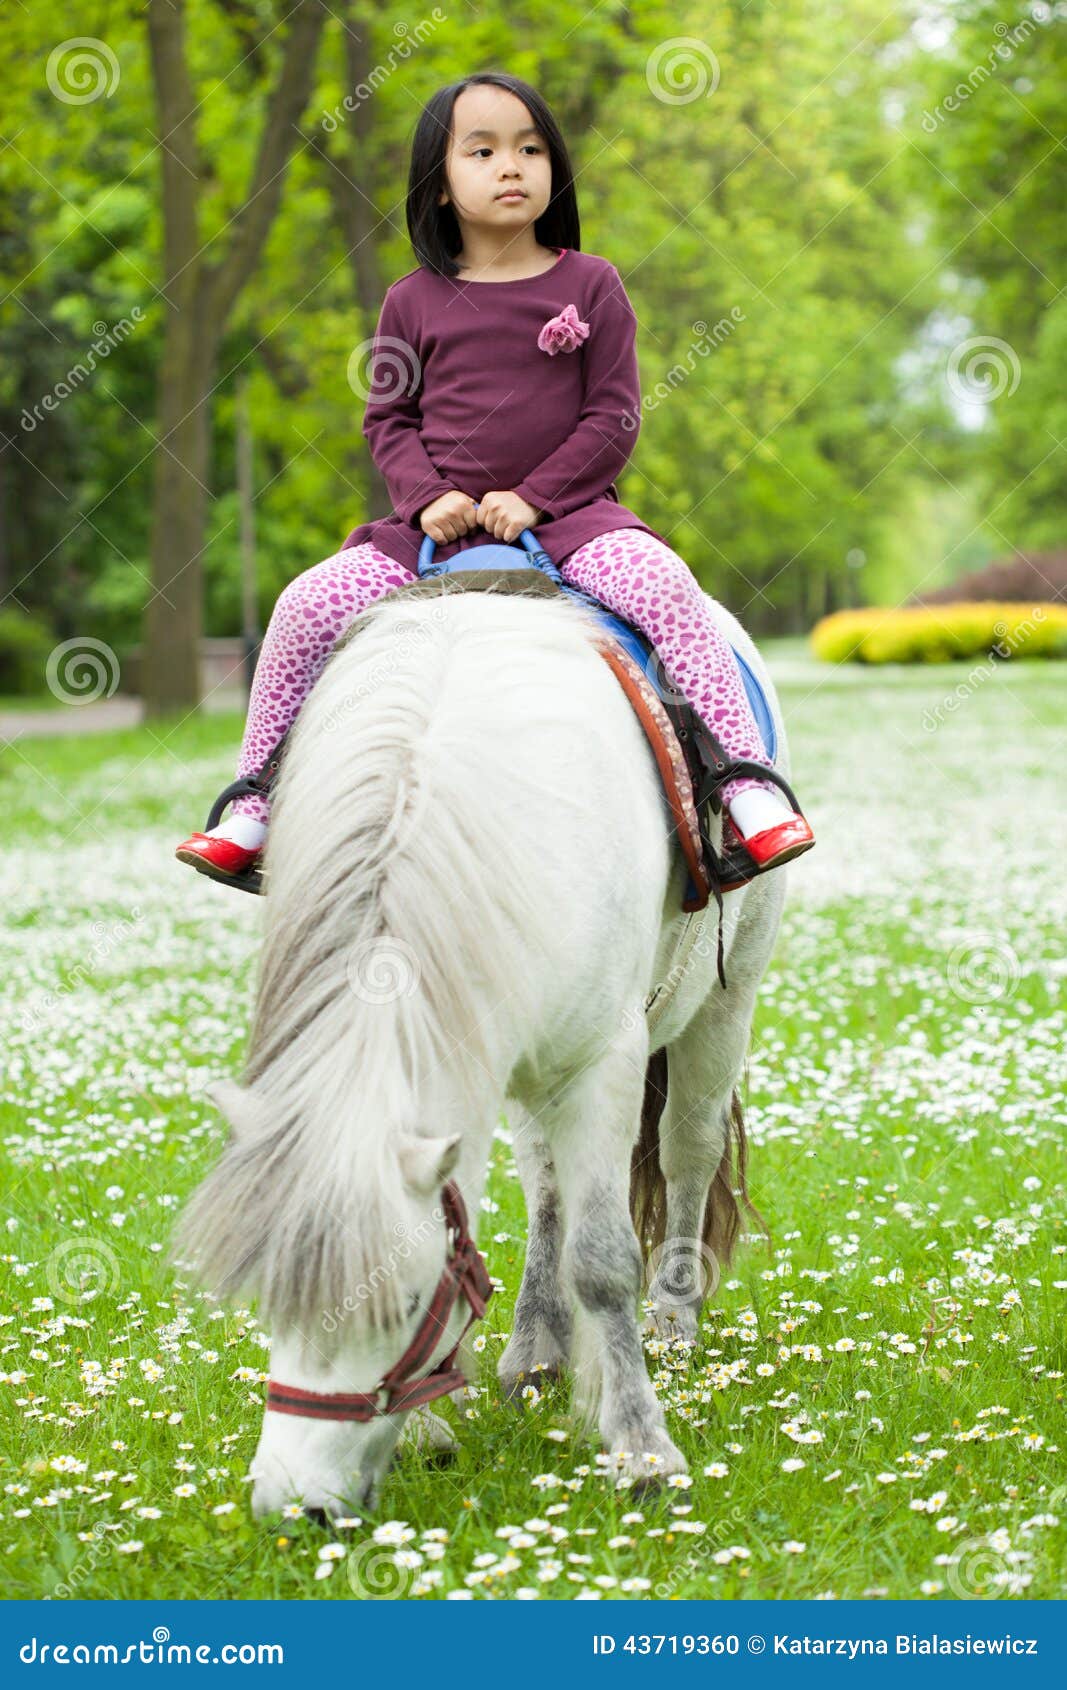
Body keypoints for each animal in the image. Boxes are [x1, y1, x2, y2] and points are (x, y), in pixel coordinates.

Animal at [173, 583, 787, 1518]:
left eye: (403, 1305)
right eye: (269, 1294)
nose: (297, 1505)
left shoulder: (603, 1063)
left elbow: (602, 1259)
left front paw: (642, 1449)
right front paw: (432, 1427)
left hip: (723, 1003)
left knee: (686, 1154)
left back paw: (672, 1323)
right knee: (545, 1187)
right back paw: (536, 1349)